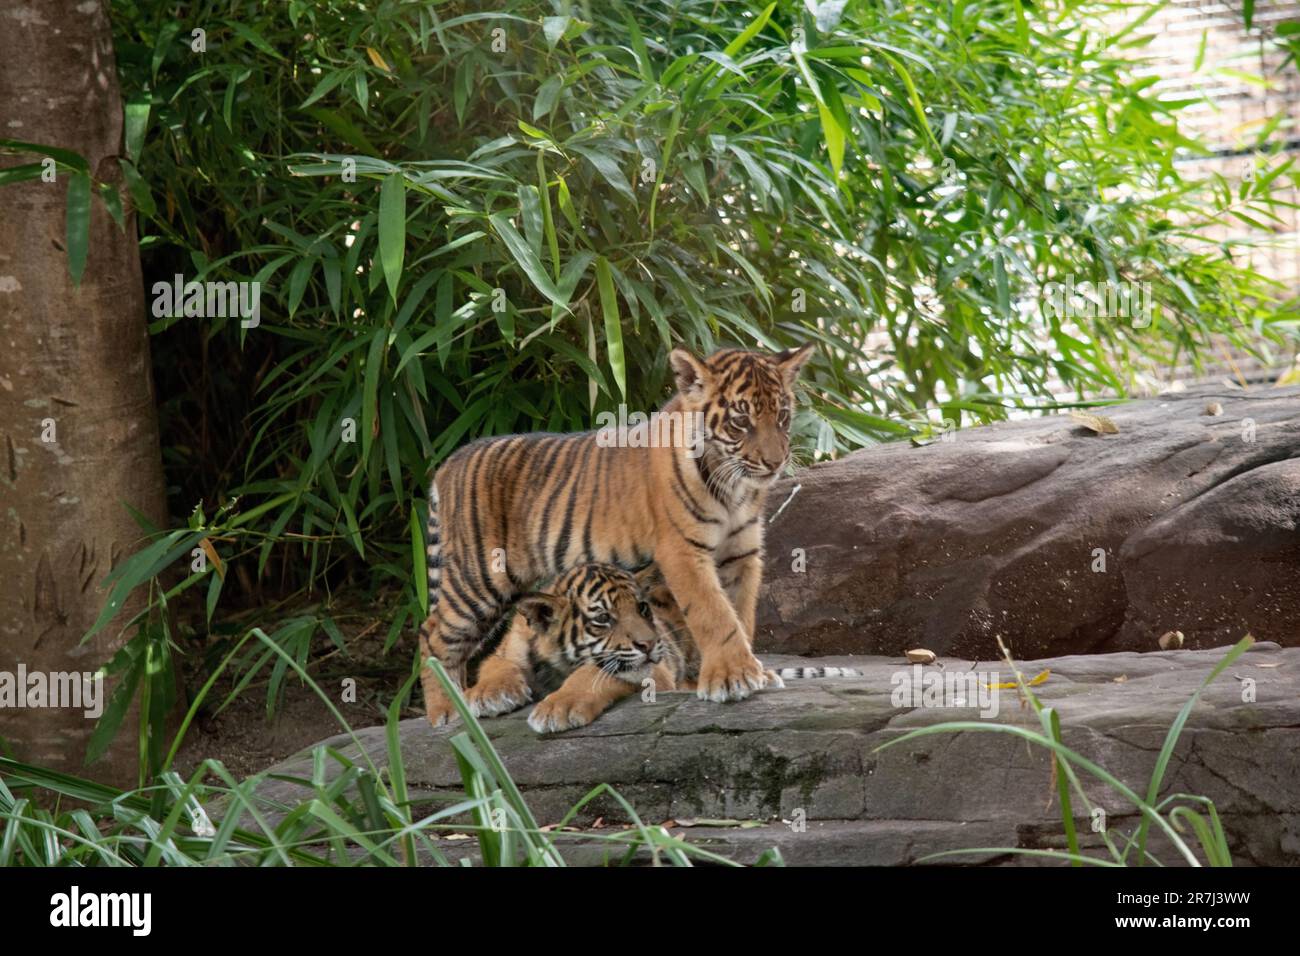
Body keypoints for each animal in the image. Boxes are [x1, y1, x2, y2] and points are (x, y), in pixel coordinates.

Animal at [417, 344, 815, 727]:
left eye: (782, 416)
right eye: (740, 420)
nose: (776, 462)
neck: (734, 487)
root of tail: (447, 464)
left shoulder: (741, 554)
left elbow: (740, 615)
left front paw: (752, 673)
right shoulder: (683, 551)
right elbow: (713, 614)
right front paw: (734, 677)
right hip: (479, 578)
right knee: (431, 632)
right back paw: (447, 713)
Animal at [467, 562, 862, 734]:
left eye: (643, 608)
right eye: (603, 618)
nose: (649, 642)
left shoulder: (650, 667)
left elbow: (593, 674)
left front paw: (557, 709)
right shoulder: (509, 649)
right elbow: (494, 666)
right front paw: (486, 695)